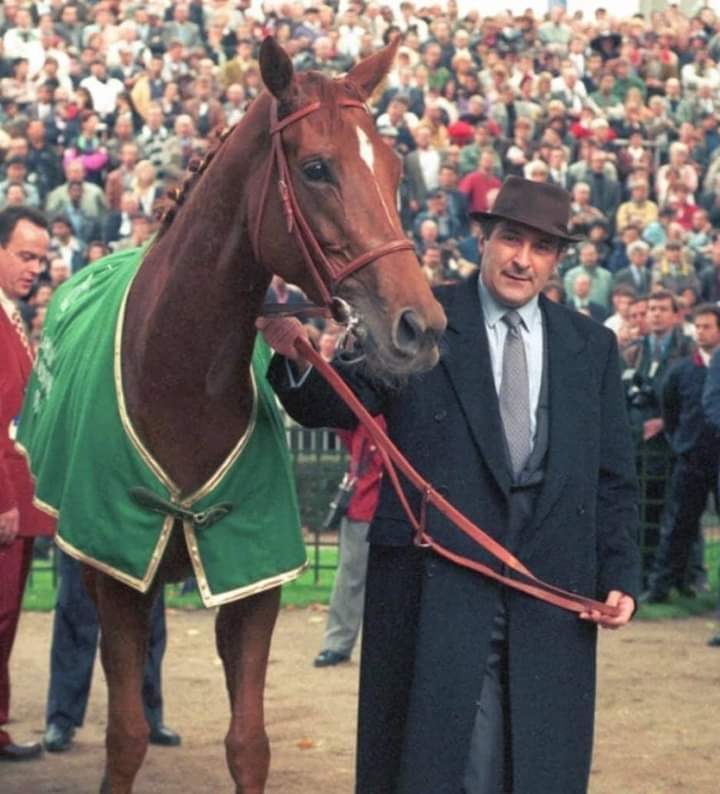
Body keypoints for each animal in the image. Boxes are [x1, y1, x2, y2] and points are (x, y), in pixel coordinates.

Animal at [23, 36, 446, 793]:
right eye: (316, 168)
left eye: (396, 167)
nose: (419, 325)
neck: (176, 378)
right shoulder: (114, 570)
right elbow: (123, 736)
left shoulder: (252, 579)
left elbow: (249, 742)